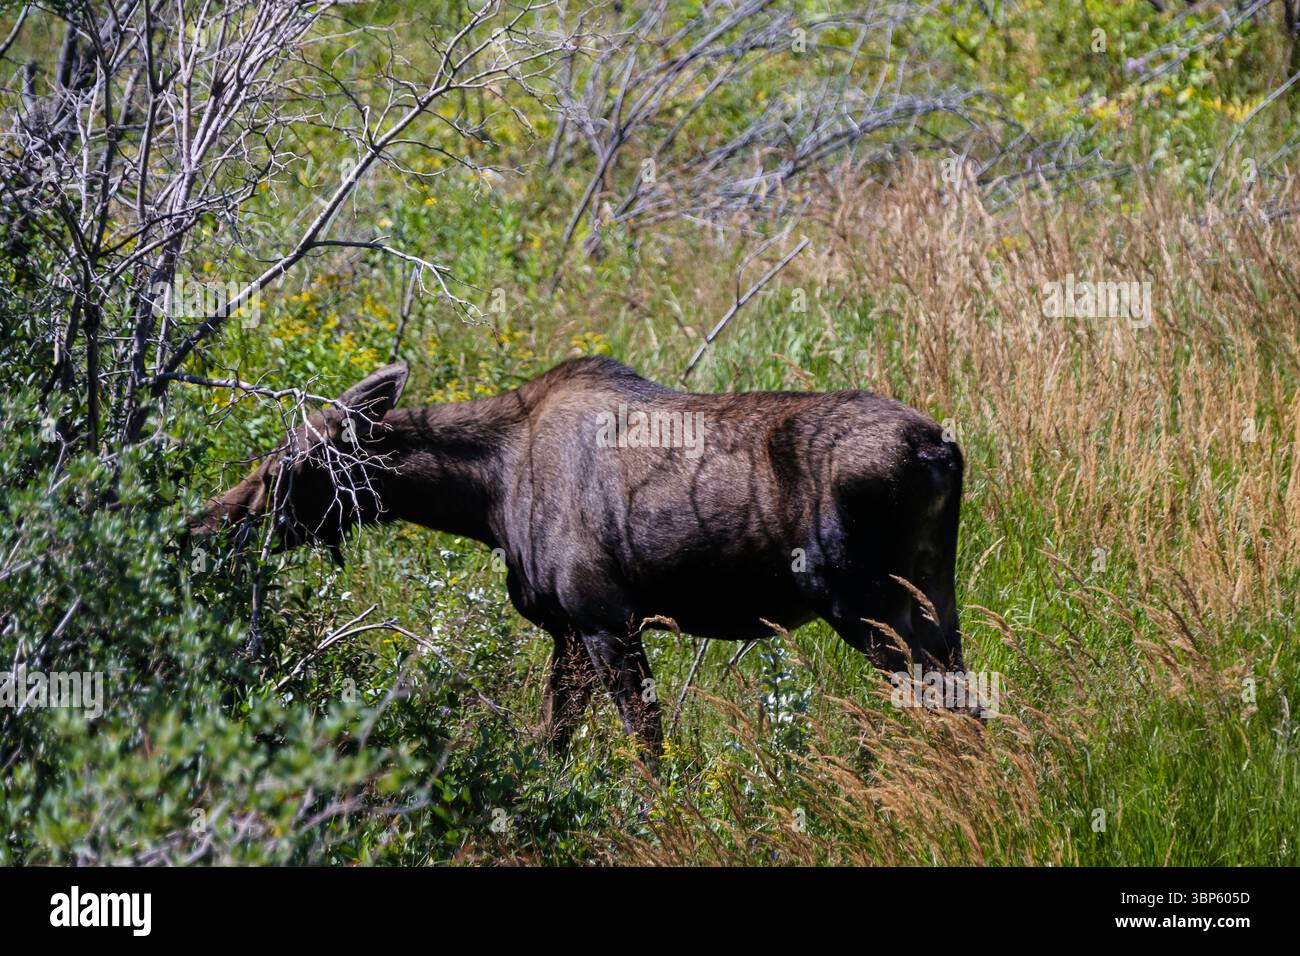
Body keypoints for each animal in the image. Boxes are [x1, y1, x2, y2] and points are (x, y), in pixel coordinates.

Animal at [192, 357, 968, 763]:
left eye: (286, 466)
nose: (206, 523)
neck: (484, 499)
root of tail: (942, 449)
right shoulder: (568, 631)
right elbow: (553, 742)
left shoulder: (603, 617)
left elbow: (647, 751)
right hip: (935, 598)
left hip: (867, 605)